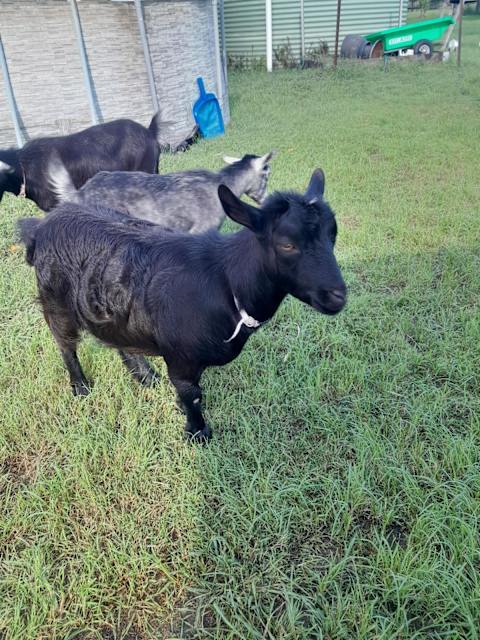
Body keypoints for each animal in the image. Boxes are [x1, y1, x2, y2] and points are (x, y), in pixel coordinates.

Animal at [19, 169, 346, 441]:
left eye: (333, 235)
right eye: (287, 244)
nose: (338, 296)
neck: (227, 283)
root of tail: (41, 225)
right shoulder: (180, 358)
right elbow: (192, 394)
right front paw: (198, 432)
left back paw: (144, 376)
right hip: (55, 300)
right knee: (64, 343)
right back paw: (80, 386)